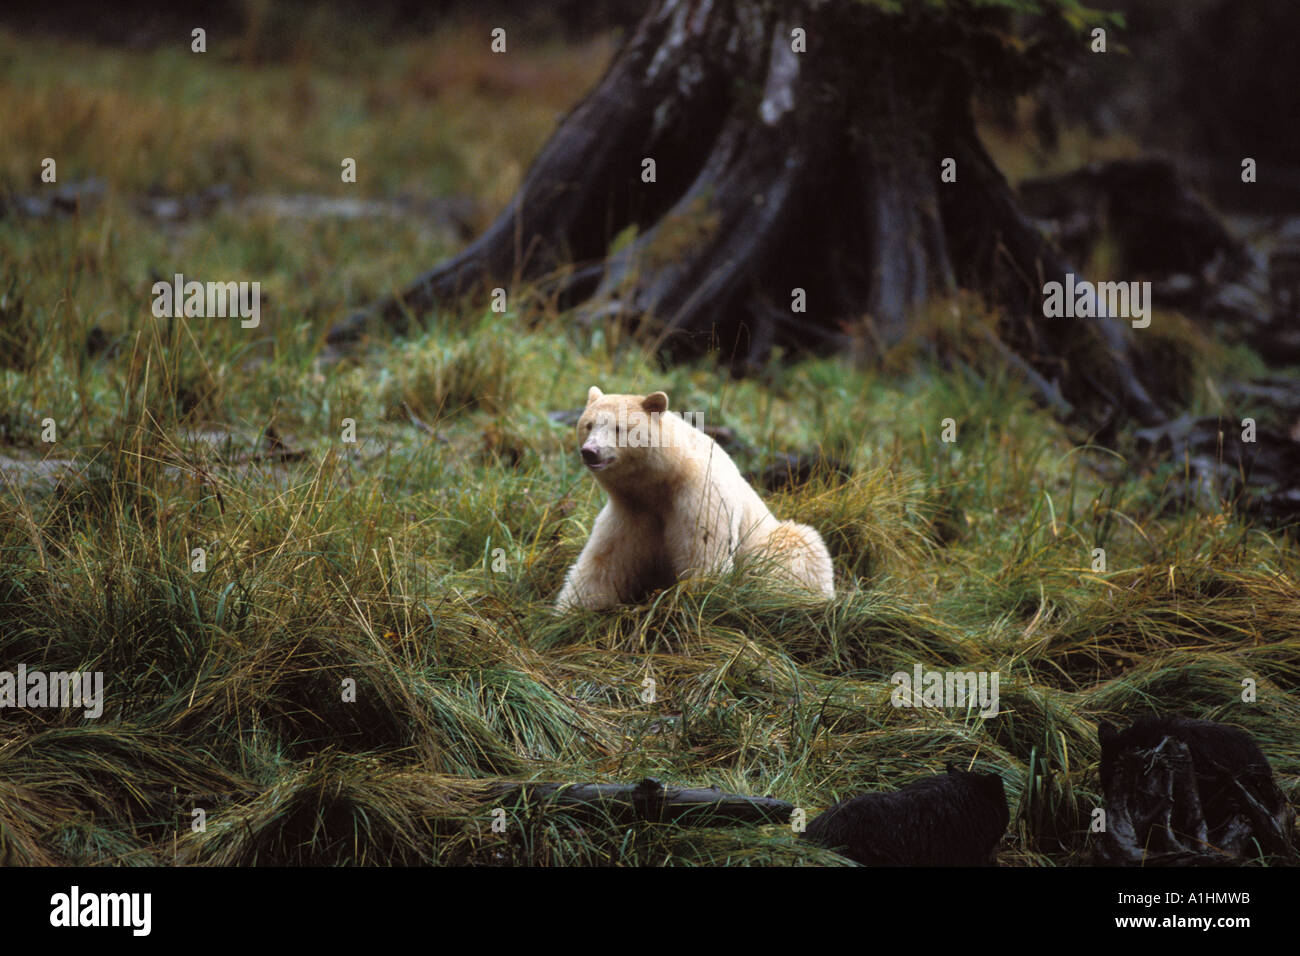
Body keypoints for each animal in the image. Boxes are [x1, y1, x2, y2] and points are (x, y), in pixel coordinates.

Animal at [554, 386, 835, 611]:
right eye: (589, 424)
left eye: (619, 428)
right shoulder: (632, 512)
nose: (590, 452)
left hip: (775, 545)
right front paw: (569, 612)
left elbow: (703, 553)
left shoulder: (700, 497)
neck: (662, 482)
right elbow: (604, 562)